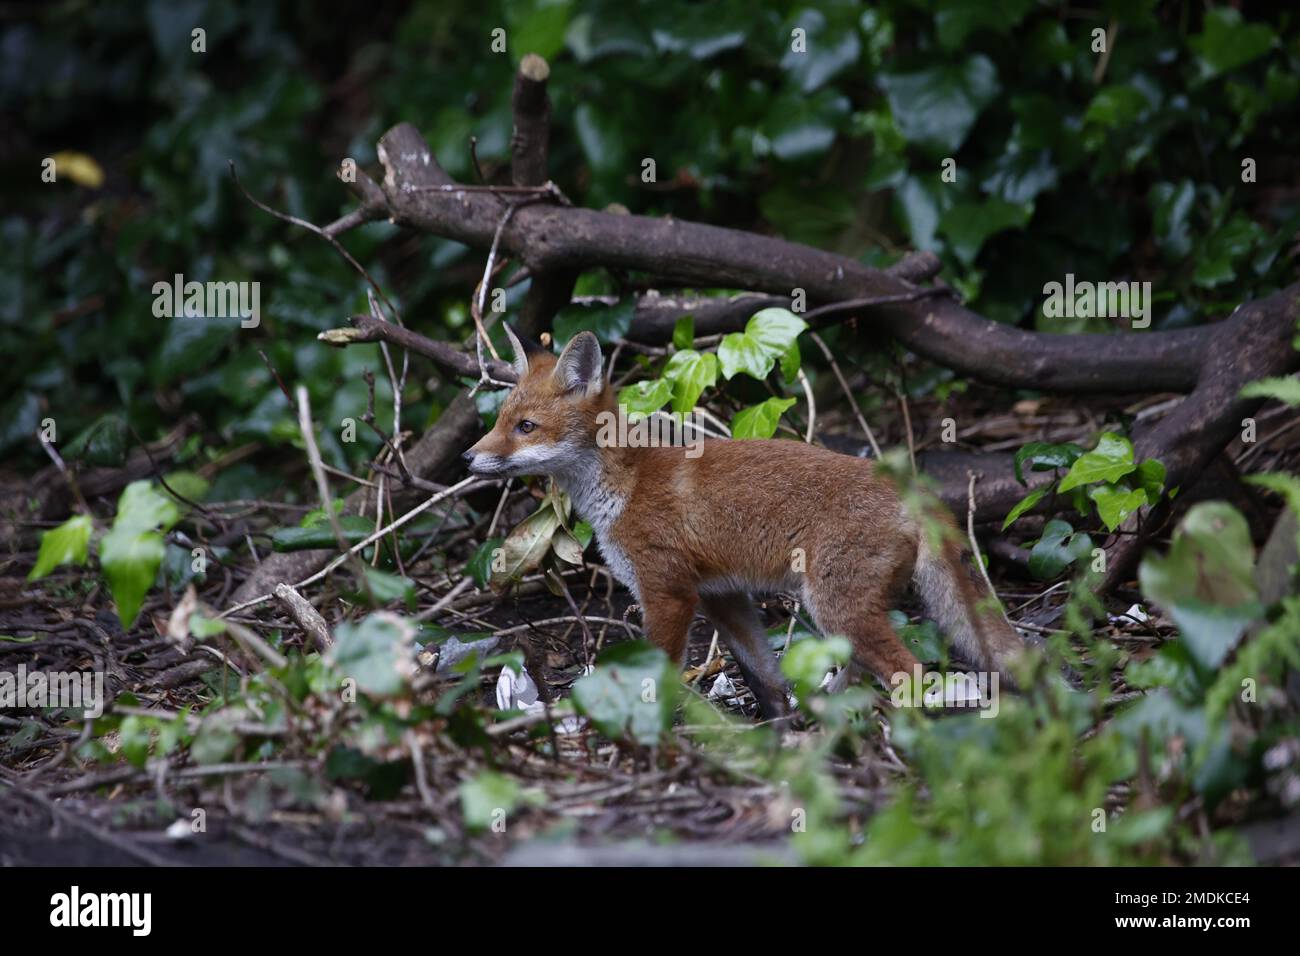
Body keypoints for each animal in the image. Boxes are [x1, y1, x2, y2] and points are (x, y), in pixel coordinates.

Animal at [463, 328, 1030, 720]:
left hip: (835, 607)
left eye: (526, 427)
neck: (625, 487)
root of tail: (911, 485)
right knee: (864, 668)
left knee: (909, 672)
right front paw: (779, 728)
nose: (467, 457)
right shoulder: (722, 596)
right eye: (498, 422)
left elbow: (658, 675)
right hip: (845, 614)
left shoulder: (668, 592)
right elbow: (765, 677)